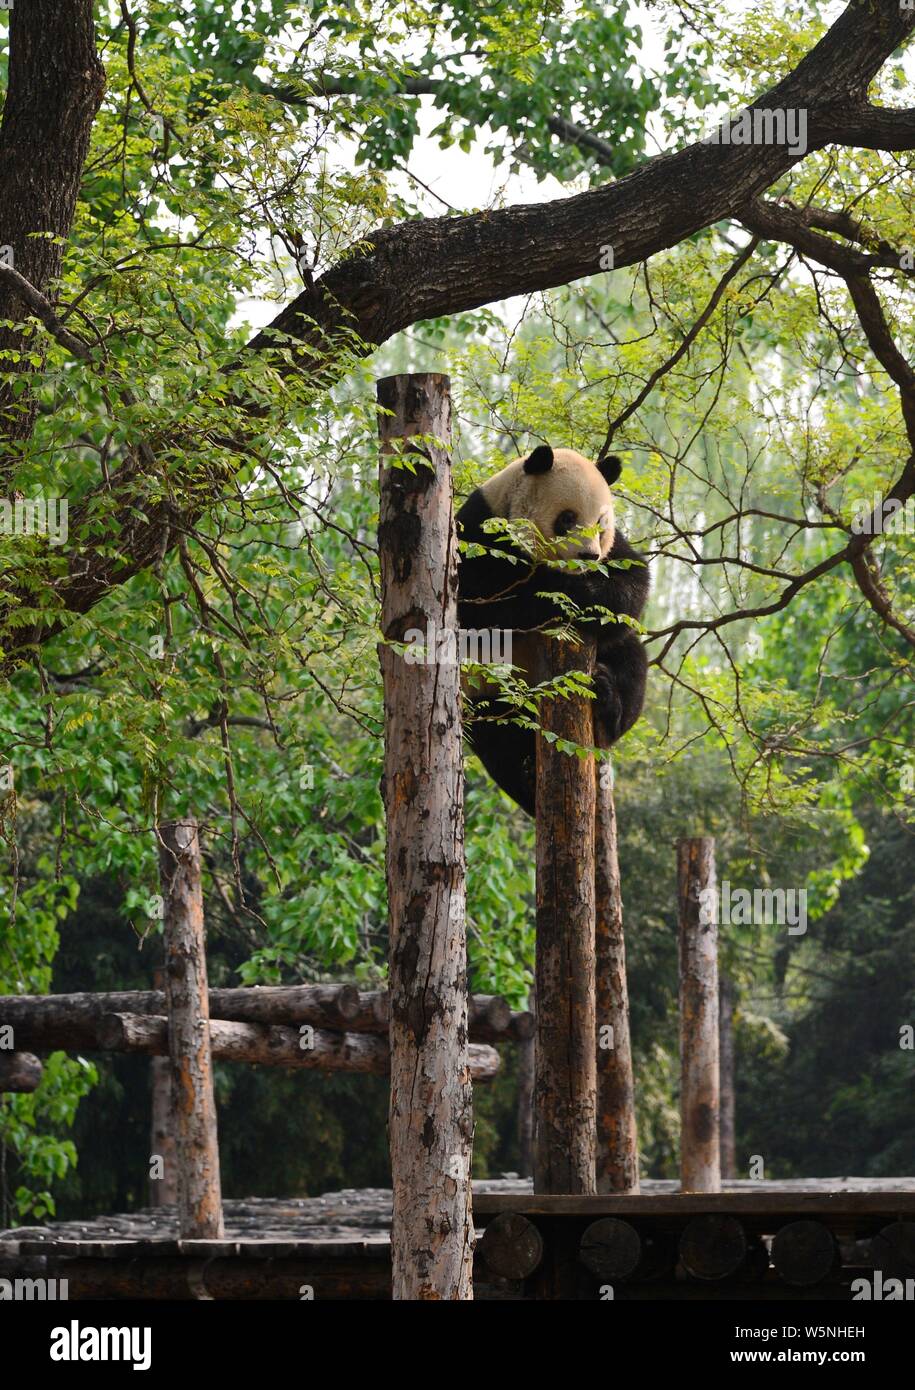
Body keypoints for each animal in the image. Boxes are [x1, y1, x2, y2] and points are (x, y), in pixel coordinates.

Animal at [456, 443, 649, 815]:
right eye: (568, 518)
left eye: (600, 524)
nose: (588, 557)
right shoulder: (479, 532)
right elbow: (478, 608)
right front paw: (557, 591)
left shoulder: (615, 548)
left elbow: (632, 583)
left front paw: (583, 591)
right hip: (487, 686)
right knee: (500, 737)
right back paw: (529, 780)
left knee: (631, 661)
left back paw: (608, 702)